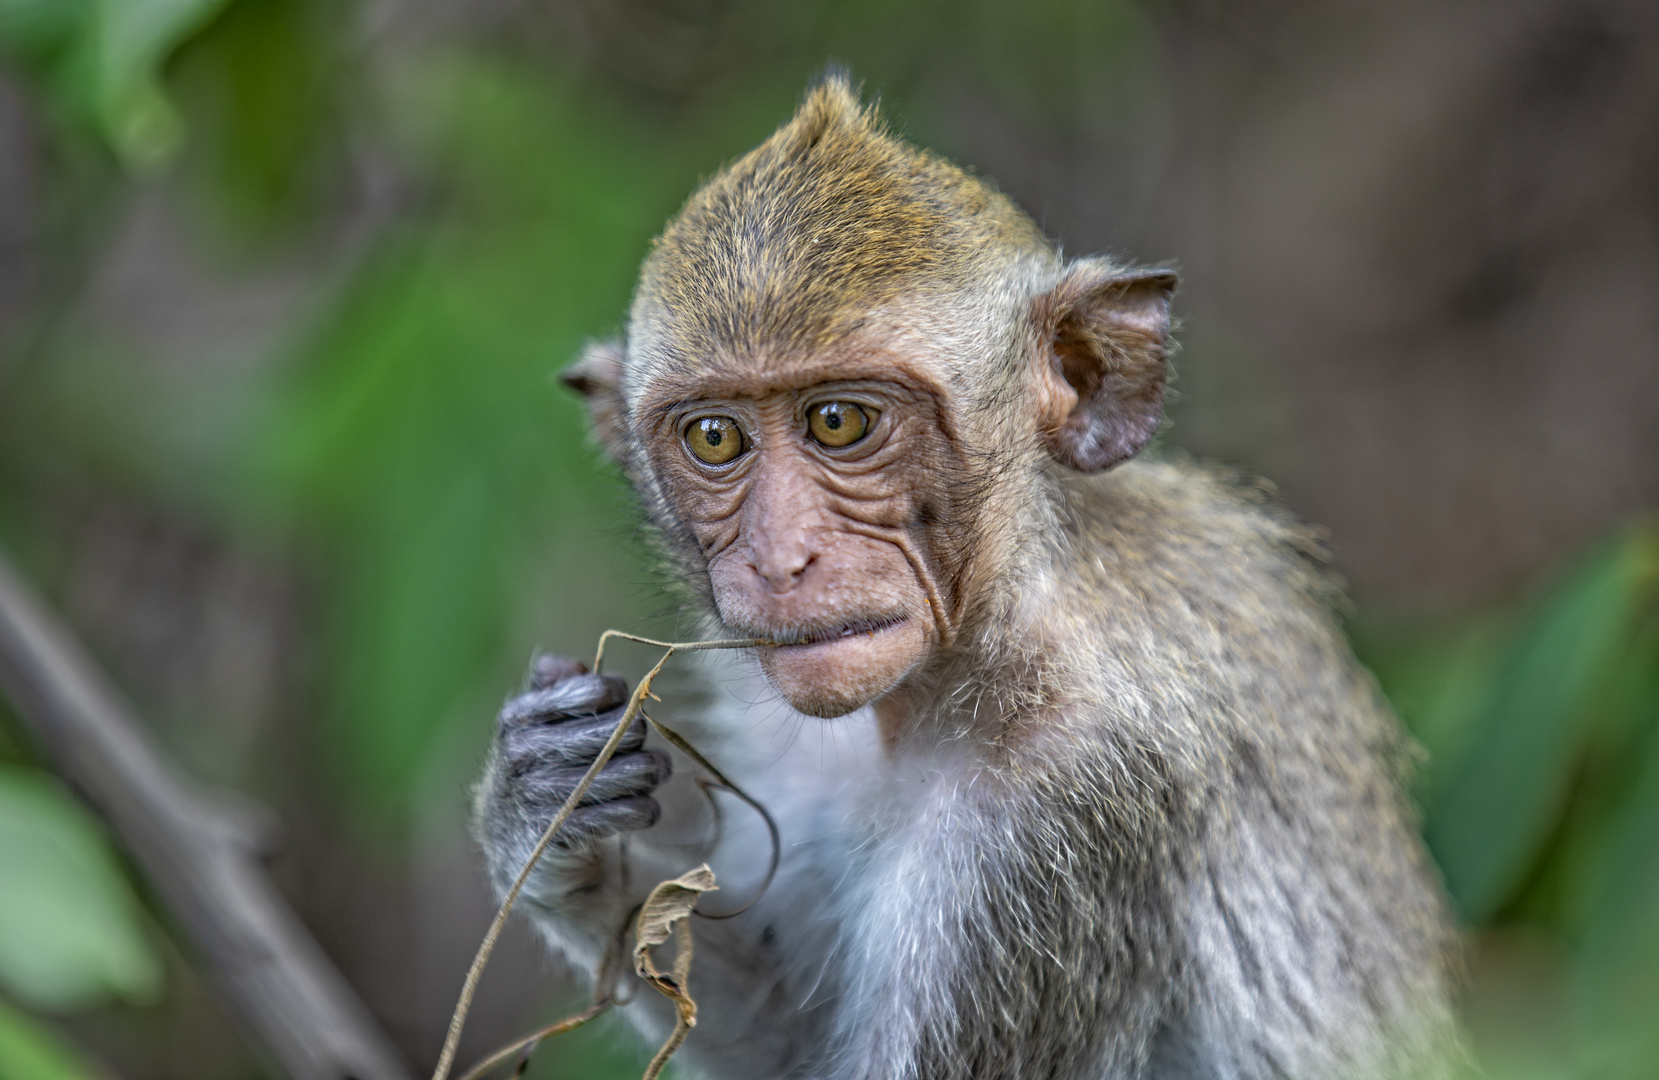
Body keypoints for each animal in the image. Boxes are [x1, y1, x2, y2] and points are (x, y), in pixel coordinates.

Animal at [473, 76, 1463, 1080]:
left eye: (838, 422)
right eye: (715, 438)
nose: (780, 558)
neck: (994, 639)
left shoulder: (1066, 814)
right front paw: (544, 816)